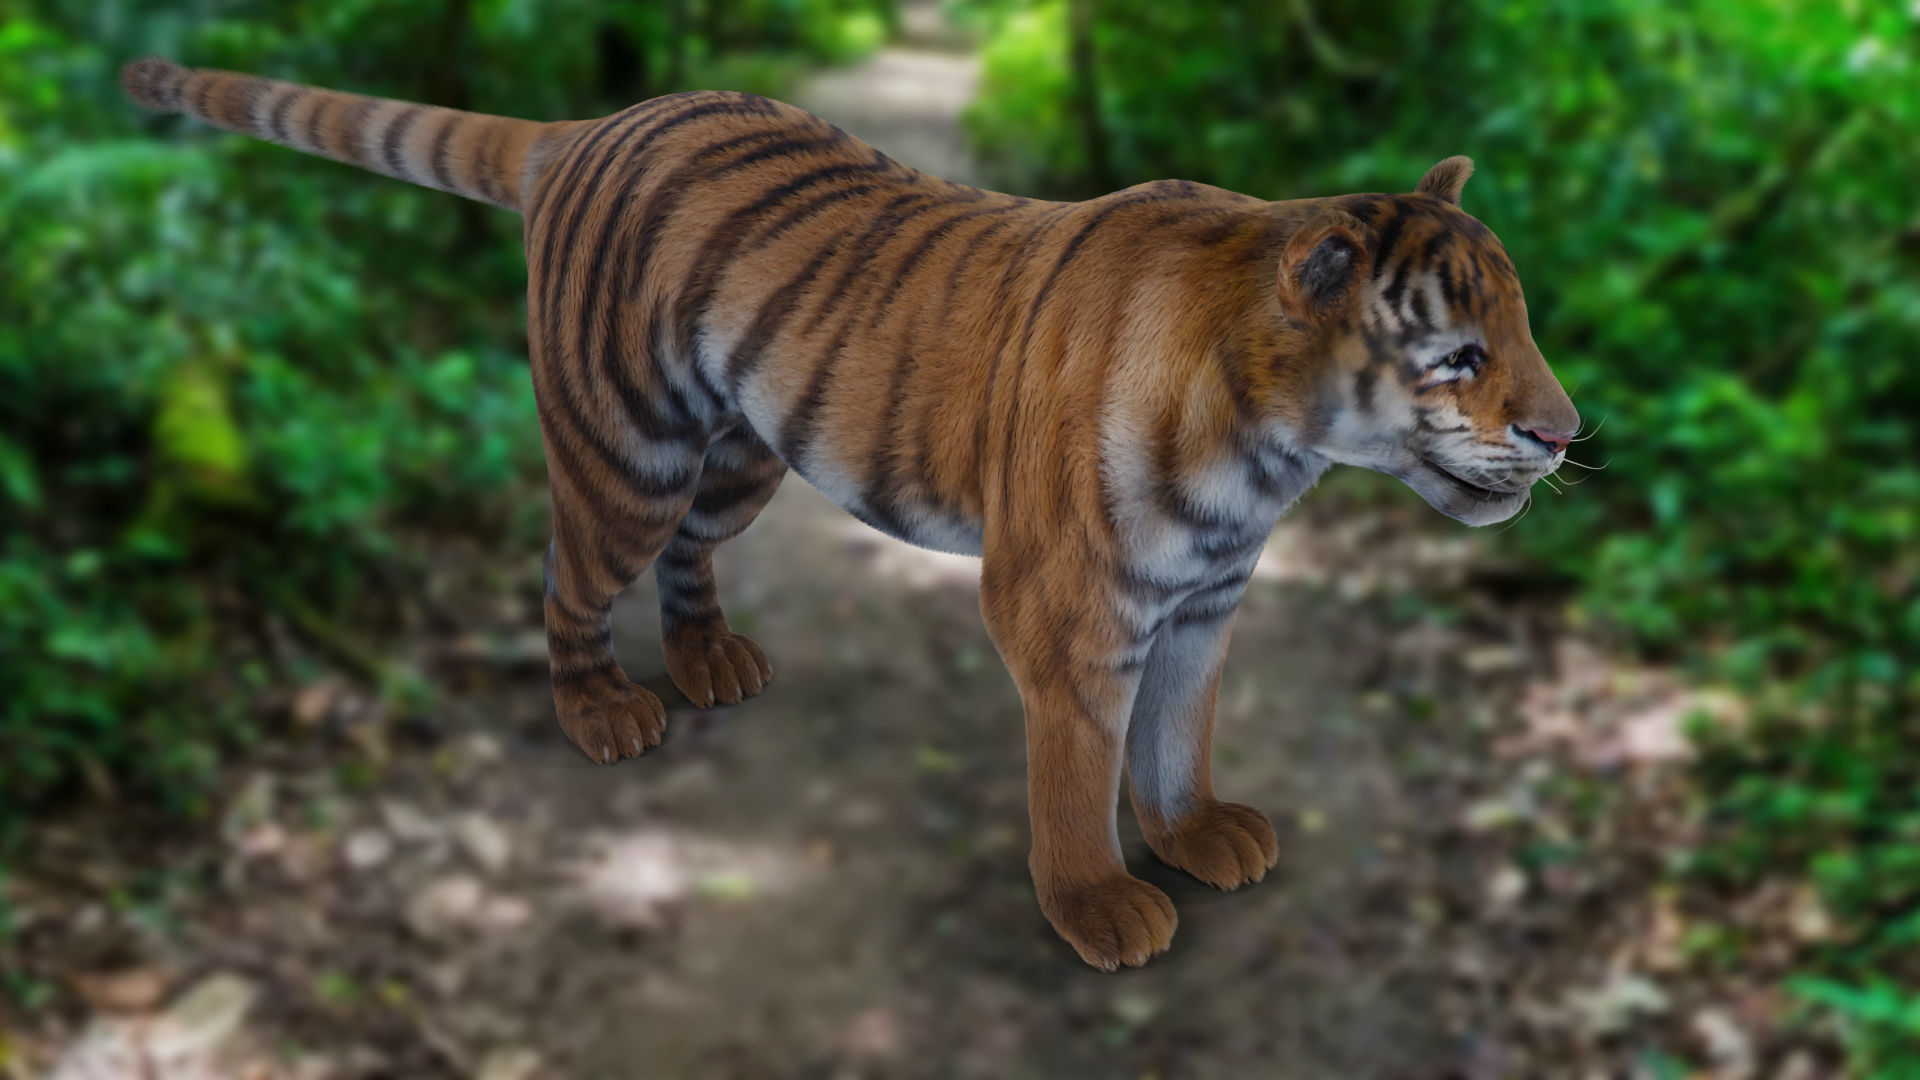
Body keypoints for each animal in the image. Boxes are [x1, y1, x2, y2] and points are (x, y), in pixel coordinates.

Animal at [122, 56, 1579, 971]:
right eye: (1458, 358)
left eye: (1523, 327)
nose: (1568, 433)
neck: (1271, 455)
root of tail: (582, 129)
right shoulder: (1072, 617)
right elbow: (1078, 773)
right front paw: (1099, 905)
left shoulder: (1203, 605)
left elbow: (1177, 737)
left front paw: (1194, 836)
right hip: (628, 455)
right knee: (568, 578)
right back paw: (603, 712)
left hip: (737, 459)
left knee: (689, 564)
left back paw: (711, 662)